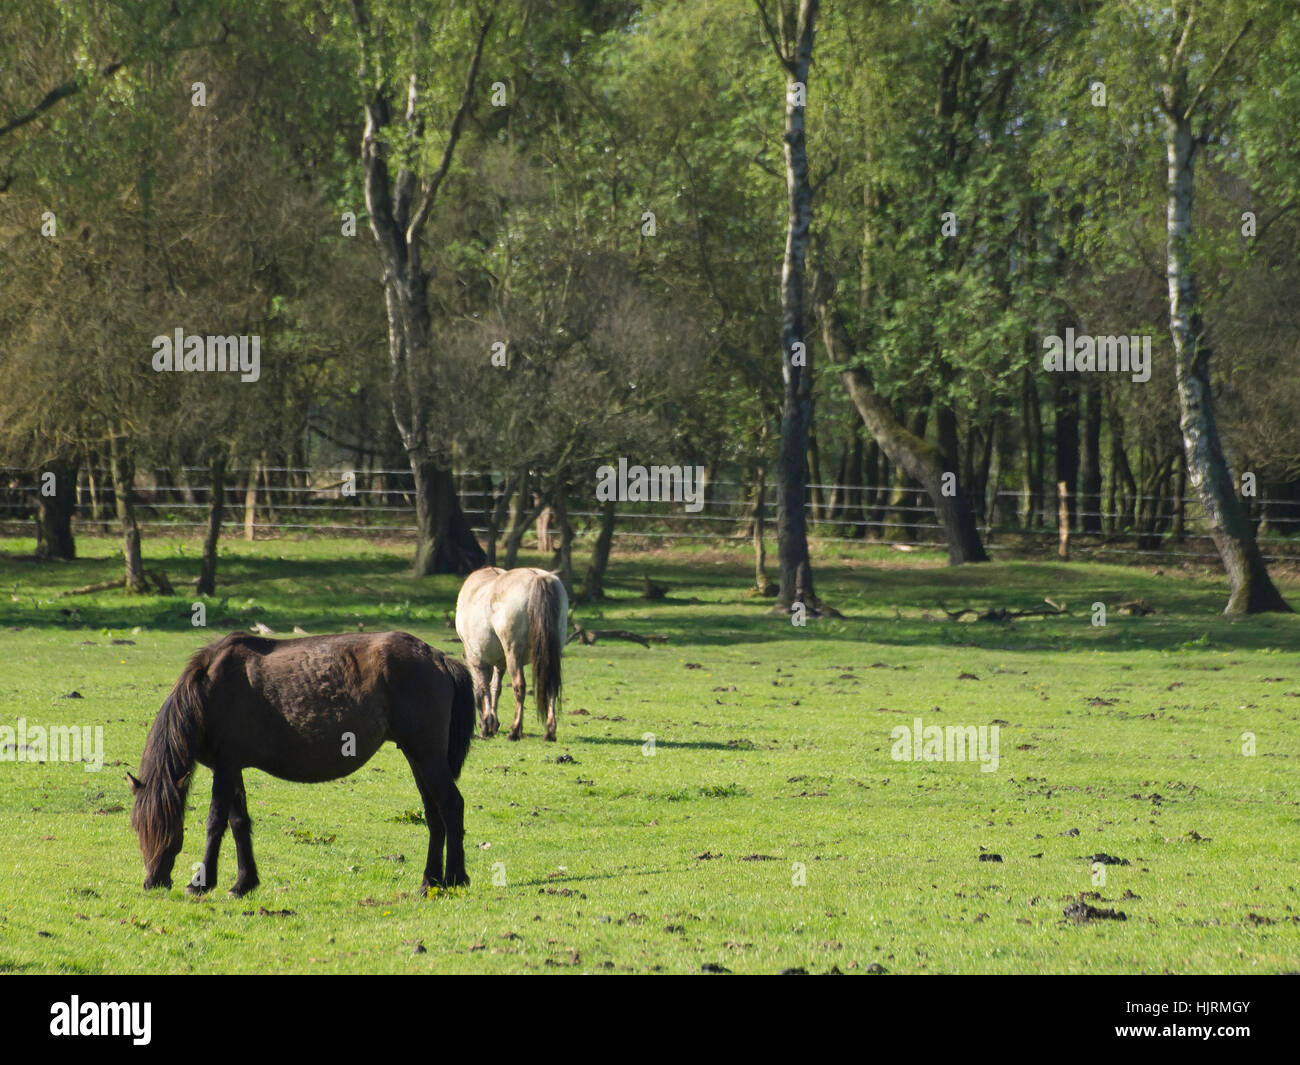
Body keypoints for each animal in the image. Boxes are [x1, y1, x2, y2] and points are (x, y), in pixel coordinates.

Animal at [127, 630, 475, 897]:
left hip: (427, 755)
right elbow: (239, 823)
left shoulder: (224, 768)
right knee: (434, 814)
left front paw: (201, 883)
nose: (153, 882)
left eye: (169, 829)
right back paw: (430, 880)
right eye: (138, 827)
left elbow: (216, 822)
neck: (210, 690)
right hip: (417, 757)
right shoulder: (232, 767)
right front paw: (243, 883)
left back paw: (455, 877)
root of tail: (438, 657)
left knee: (452, 805)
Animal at [454, 566, 567, 742]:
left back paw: (514, 731)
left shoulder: (477, 660)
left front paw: (486, 725)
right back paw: (549, 731)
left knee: (519, 686)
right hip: (551, 655)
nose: (482, 725)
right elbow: (495, 688)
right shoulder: (499, 663)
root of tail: (538, 577)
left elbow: (482, 689)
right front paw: (492, 723)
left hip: (513, 654)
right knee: (551, 686)